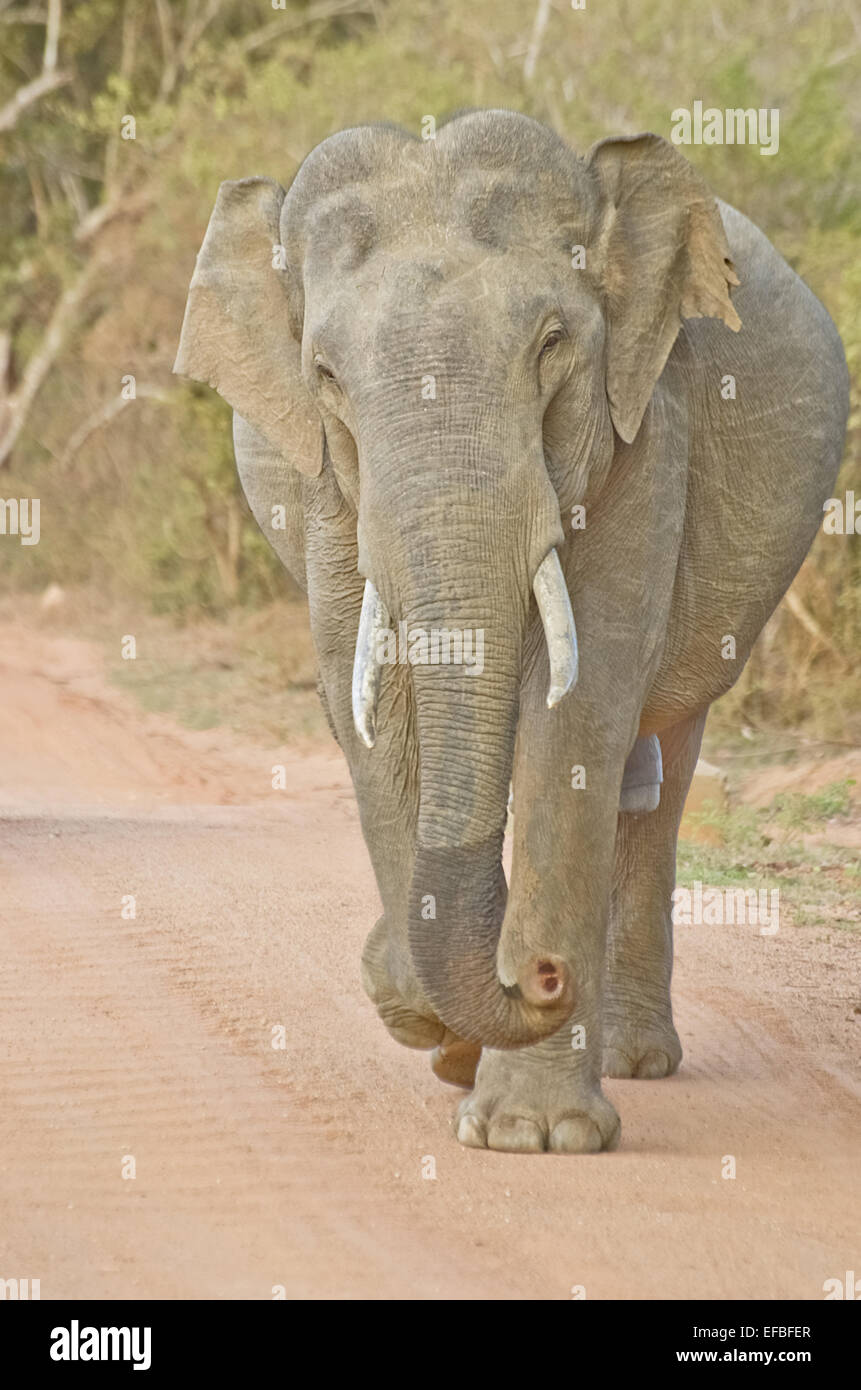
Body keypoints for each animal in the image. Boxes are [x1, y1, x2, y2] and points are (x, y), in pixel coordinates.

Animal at [174, 110, 848, 1153]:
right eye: (324, 375)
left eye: (552, 344)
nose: (541, 974)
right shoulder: (328, 486)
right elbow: (373, 711)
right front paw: (434, 1024)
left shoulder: (643, 427)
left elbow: (578, 712)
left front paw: (536, 1134)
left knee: (658, 766)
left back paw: (629, 1056)